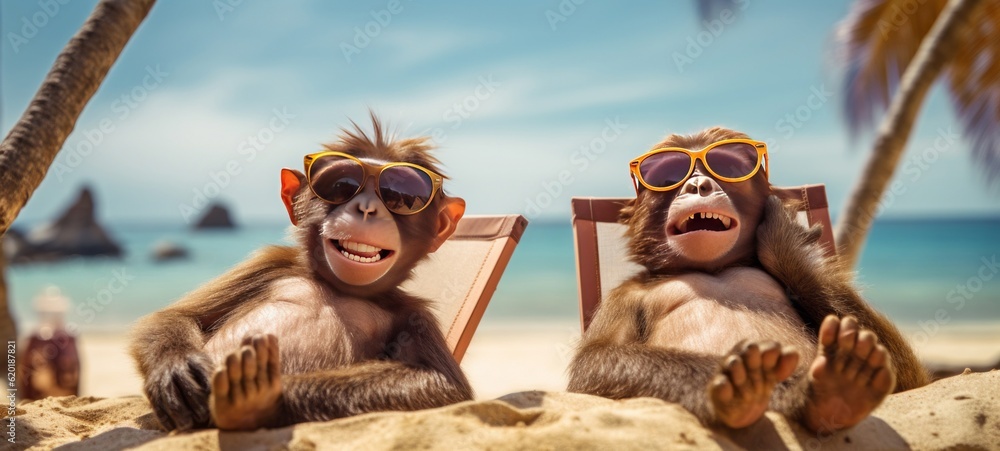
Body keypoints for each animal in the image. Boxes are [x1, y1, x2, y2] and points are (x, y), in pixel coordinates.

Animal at [129, 115, 473, 431]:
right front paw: (176, 367)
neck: (339, 287)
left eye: (399, 194)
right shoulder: (270, 263)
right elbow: (176, 315)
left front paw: (261, 398)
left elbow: (443, 384)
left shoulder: (414, 314)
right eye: (341, 185)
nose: (366, 207)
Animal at [567, 127, 928, 434]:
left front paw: (785, 247)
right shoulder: (626, 295)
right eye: (668, 176)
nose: (698, 185)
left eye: (726, 167)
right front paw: (762, 389)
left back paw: (841, 387)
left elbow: (906, 383)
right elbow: (593, 362)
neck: (714, 269)